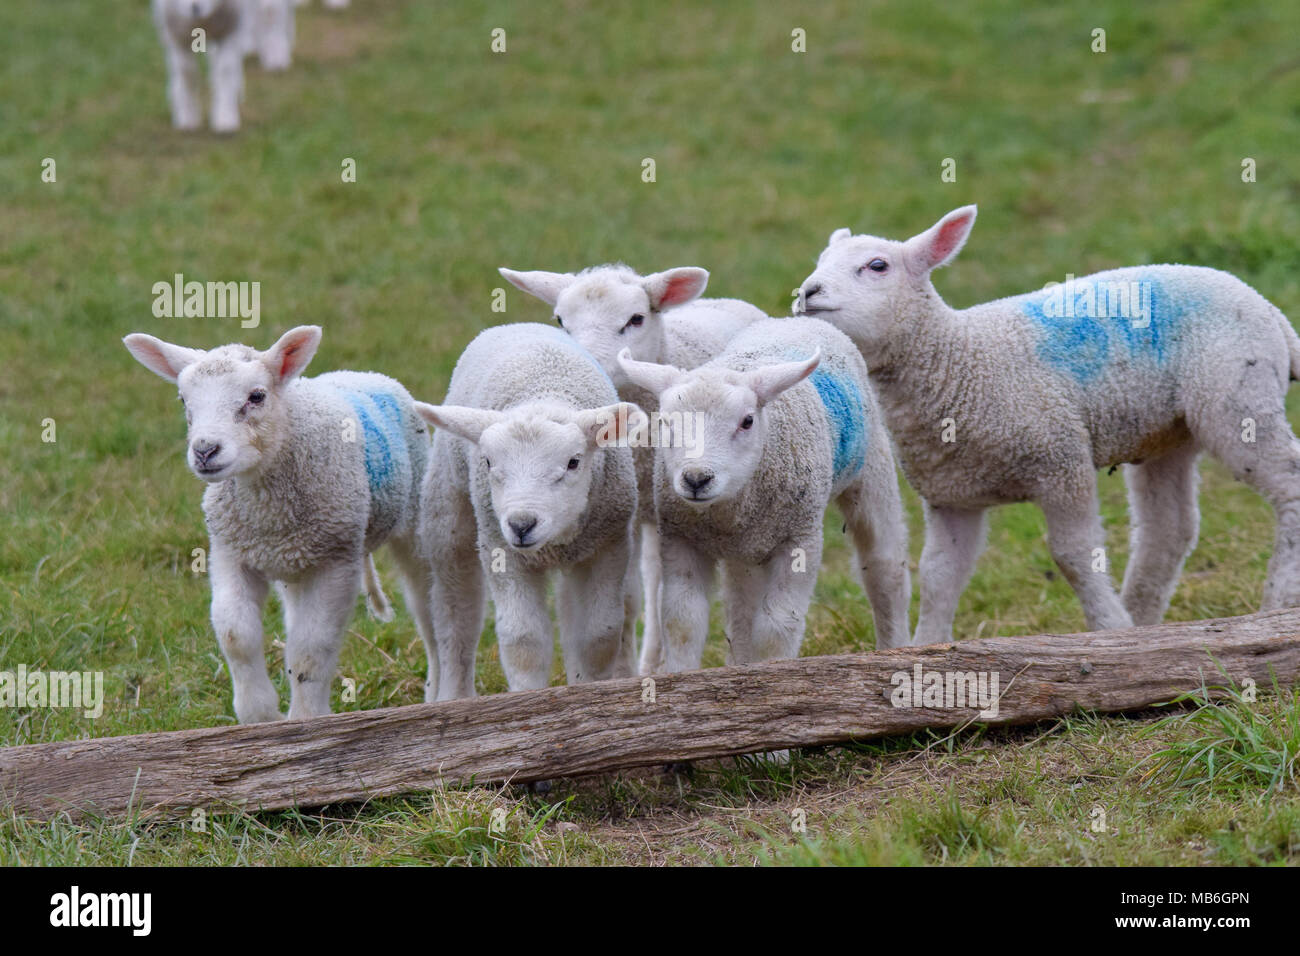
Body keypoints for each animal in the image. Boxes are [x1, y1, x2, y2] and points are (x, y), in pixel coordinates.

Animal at [122, 325, 437, 722]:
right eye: (183, 400)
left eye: (256, 396)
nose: (205, 450)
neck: (268, 509)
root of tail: (365, 374)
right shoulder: (231, 551)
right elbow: (235, 633)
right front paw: (260, 716)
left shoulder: (336, 561)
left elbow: (310, 648)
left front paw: (305, 718)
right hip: (297, 564)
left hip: (413, 525)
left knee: (428, 612)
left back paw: (440, 688)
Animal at [414, 323, 642, 699]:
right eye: (488, 462)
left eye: (574, 462)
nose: (522, 524)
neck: (543, 393)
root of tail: (514, 325)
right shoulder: (501, 549)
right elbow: (523, 641)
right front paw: (527, 697)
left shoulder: (608, 545)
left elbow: (599, 635)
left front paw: (593, 688)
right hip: (449, 515)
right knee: (455, 617)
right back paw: (453, 695)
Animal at [617, 317, 912, 674]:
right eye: (664, 421)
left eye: (747, 421)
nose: (696, 479)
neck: (728, 510)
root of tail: (797, 319)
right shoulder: (681, 538)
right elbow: (682, 621)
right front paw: (681, 676)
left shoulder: (799, 540)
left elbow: (777, 625)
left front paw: (774, 670)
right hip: (746, 551)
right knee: (741, 607)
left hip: (871, 471)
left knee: (885, 570)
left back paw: (894, 646)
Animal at [795, 205, 1300, 644]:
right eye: (819, 262)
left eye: (877, 266)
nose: (806, 292)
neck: (960, 360)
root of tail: (1269, 310)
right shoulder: (951, 496)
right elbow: (939, 574)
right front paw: (927, 646)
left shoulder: (1061, 463)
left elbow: (1074, 556)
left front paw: (1108, 629)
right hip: (1169, 433)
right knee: (1168, 530)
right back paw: (1143, 621)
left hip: (1236, 396)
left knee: (1288, 484)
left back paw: (1275, 602)